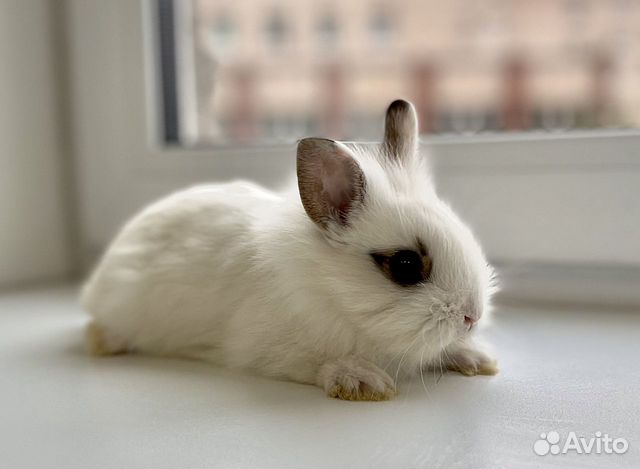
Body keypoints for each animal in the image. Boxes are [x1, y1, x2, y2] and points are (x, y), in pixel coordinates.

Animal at [82, 99, 498, 401]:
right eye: (406, 265)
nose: (472, 316)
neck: (330, 289)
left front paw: (477, 358)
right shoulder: (268, 350)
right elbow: (317, 363)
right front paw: (363, 381)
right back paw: (103, 343)